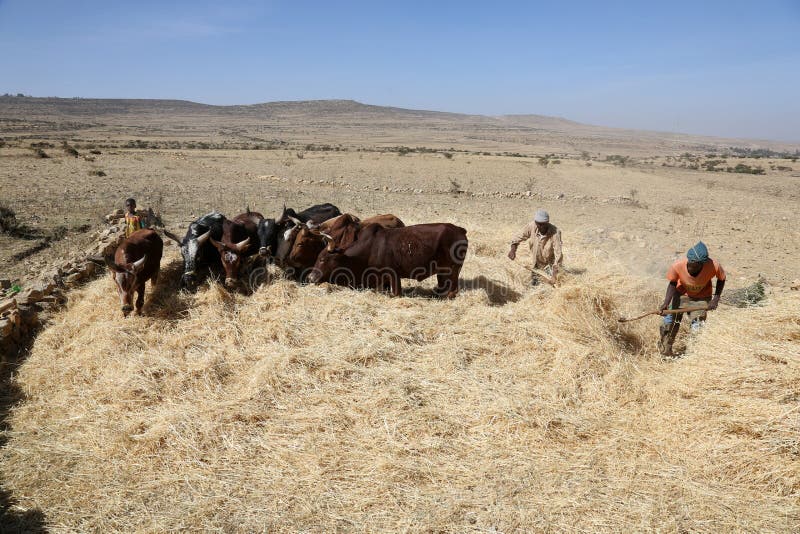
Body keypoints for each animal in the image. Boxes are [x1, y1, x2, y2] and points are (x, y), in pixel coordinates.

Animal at [307, 223, 468, 298]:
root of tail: (460, 229)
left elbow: (395, 294)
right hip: (442, 272)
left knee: (453, 290)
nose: (311, 277)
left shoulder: (393, 275)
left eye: (322, 259)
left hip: (453, 269)